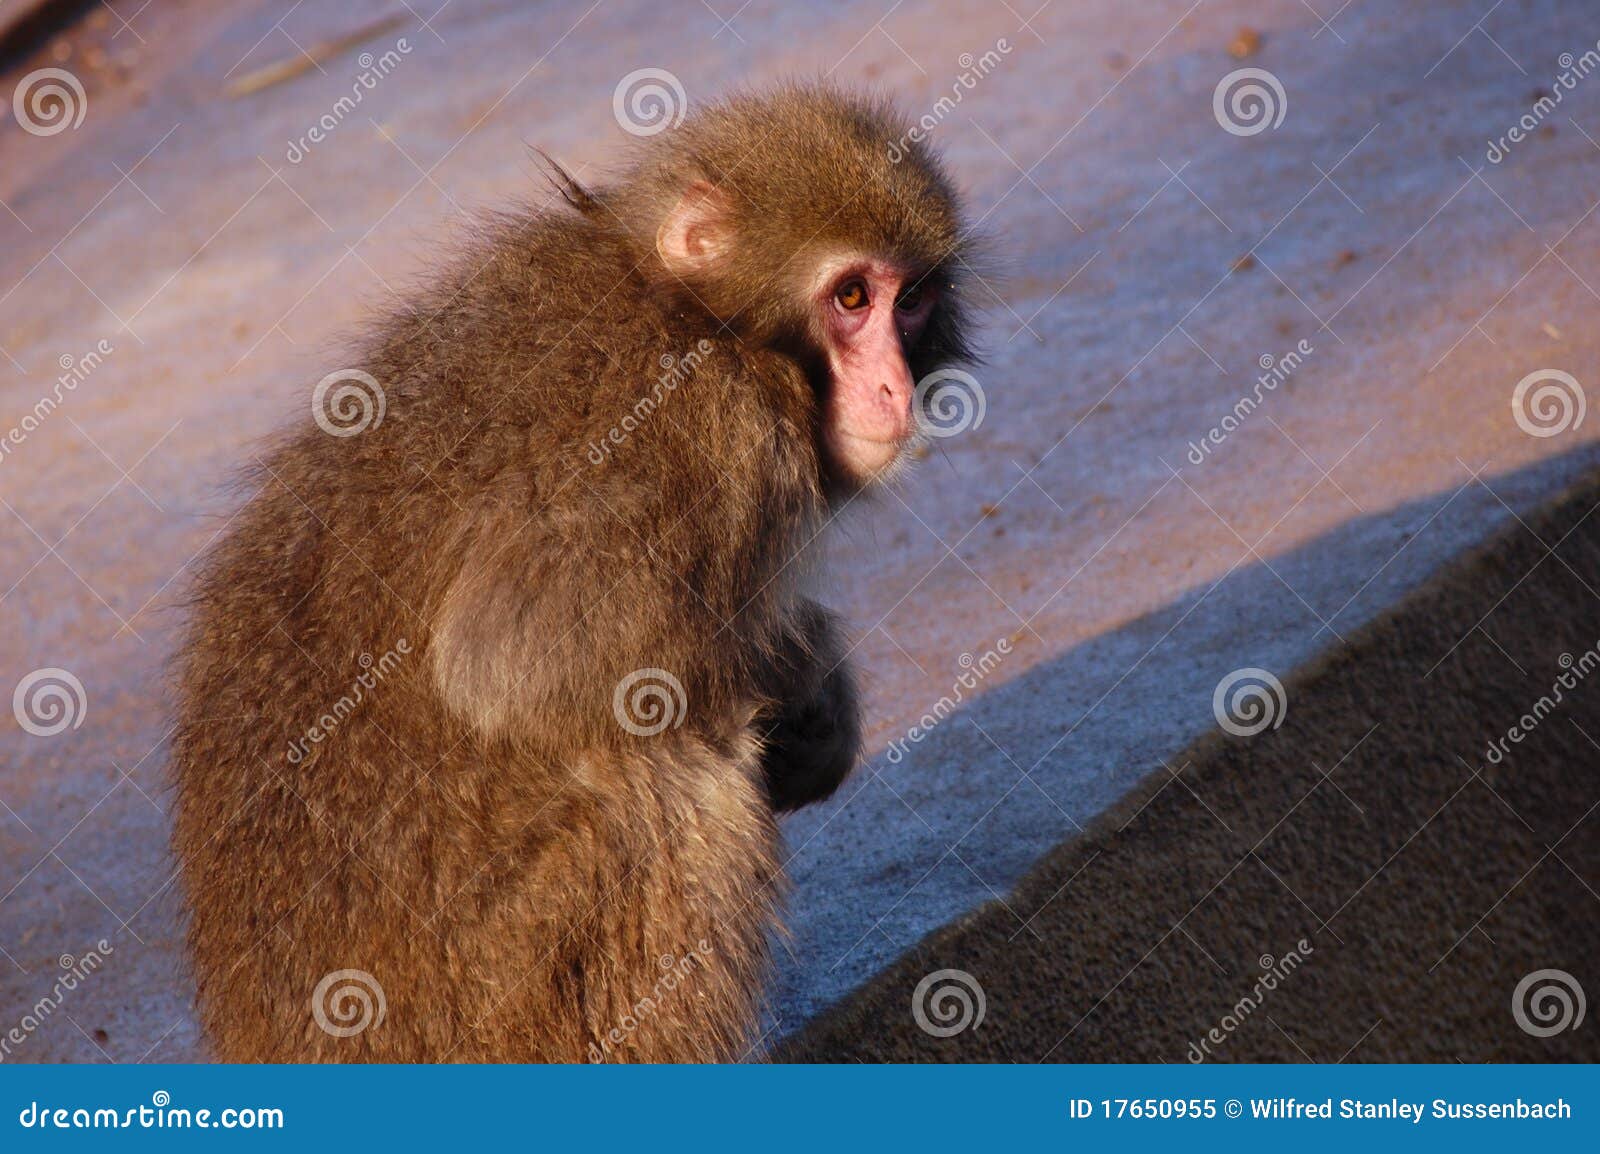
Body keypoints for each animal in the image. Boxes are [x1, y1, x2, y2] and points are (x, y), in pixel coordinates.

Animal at [170, 82, 975, 1062]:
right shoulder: (705, 421)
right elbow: (514, 659)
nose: (895, 390)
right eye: (852, 296)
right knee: (667, 778)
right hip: (498, 994)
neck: (696, 315)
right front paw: (806, 676)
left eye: (914, 302)